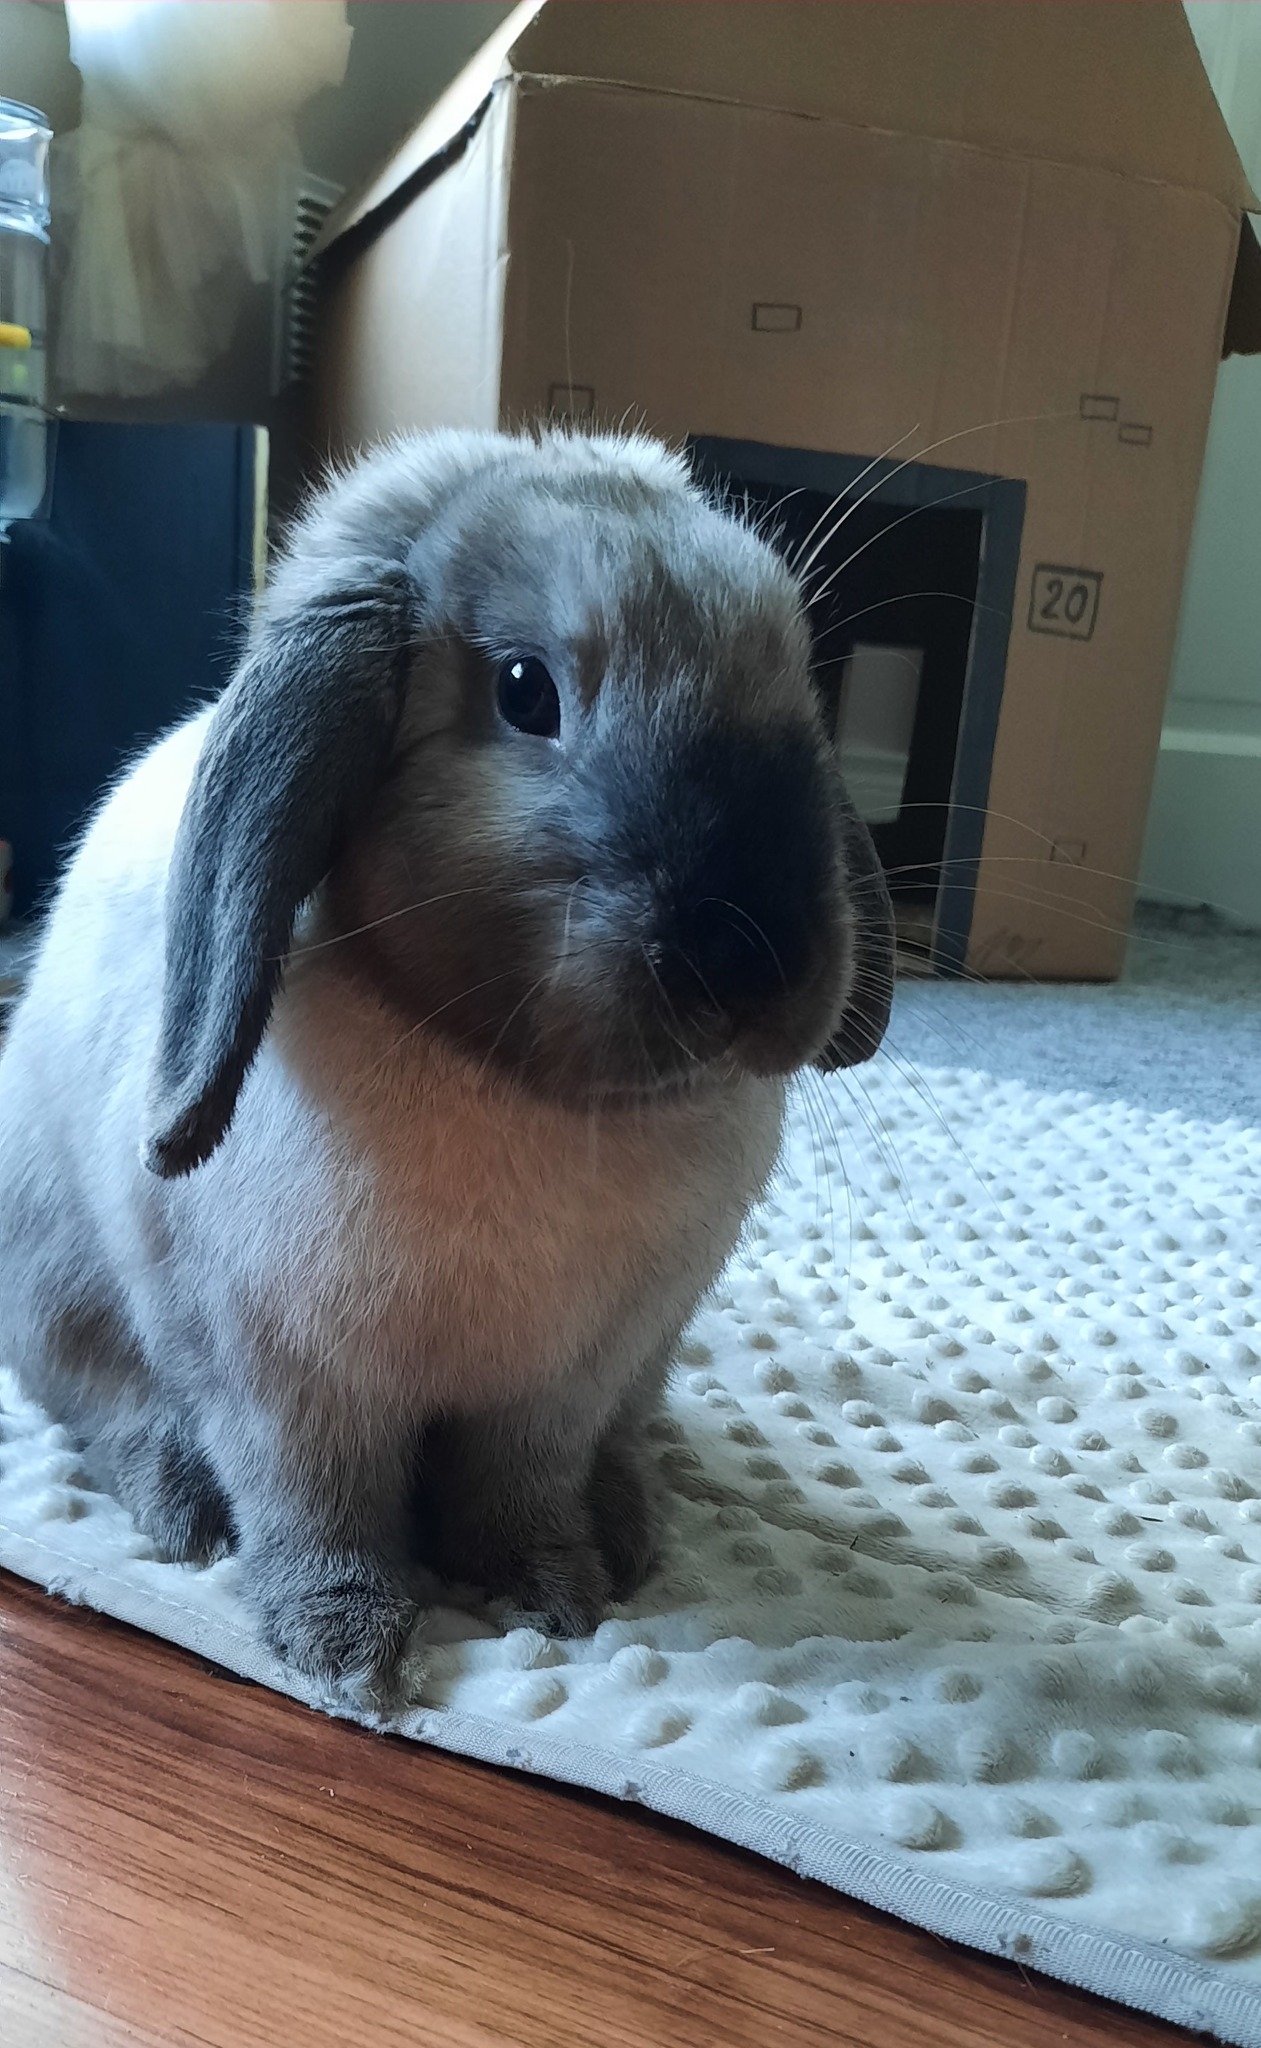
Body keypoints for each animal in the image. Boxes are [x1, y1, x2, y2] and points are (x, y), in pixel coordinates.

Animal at [0, 425, 895, 1701]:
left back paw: (626, 1525)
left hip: (649, 1360)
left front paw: (550, 1592)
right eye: (526, 690)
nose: (753, 957)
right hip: (57, 1290)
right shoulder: (288, 1388)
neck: (539, 1096)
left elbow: (517, 1491)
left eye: (795, 677)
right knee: (102, 1403)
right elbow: (315, 1512)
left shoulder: (559, 1387)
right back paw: (183, 1509)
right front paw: (344, 1650)